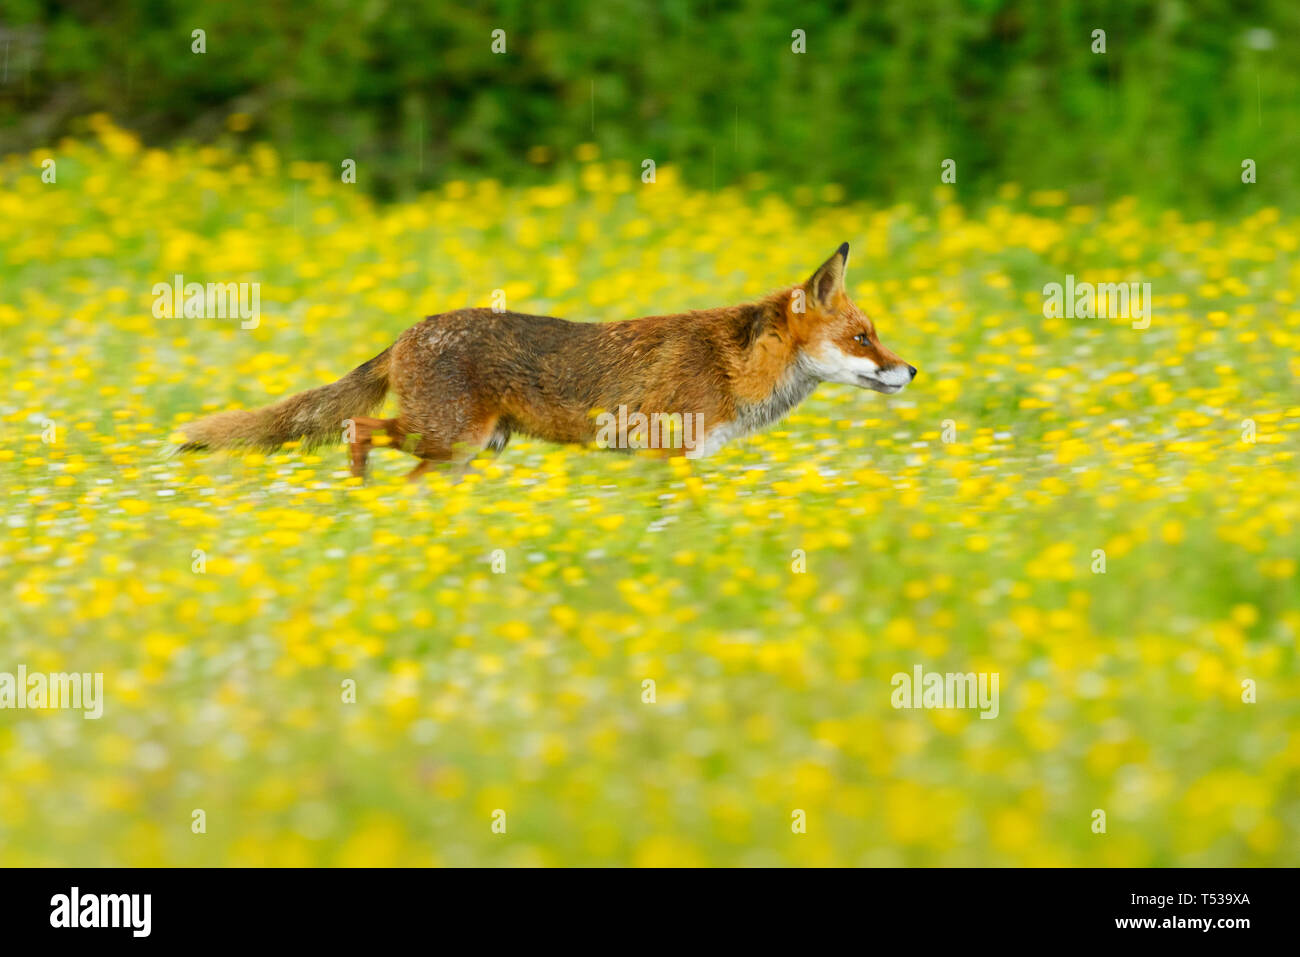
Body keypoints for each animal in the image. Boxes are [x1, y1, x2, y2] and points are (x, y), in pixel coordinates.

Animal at [176, 243, 916, 479]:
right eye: (863, 338)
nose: (912, 372)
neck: (734, 364)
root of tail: (411, 328)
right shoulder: (667, 450)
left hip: (463, 451)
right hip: (449, 437)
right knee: (358, 429)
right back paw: (361, 497)